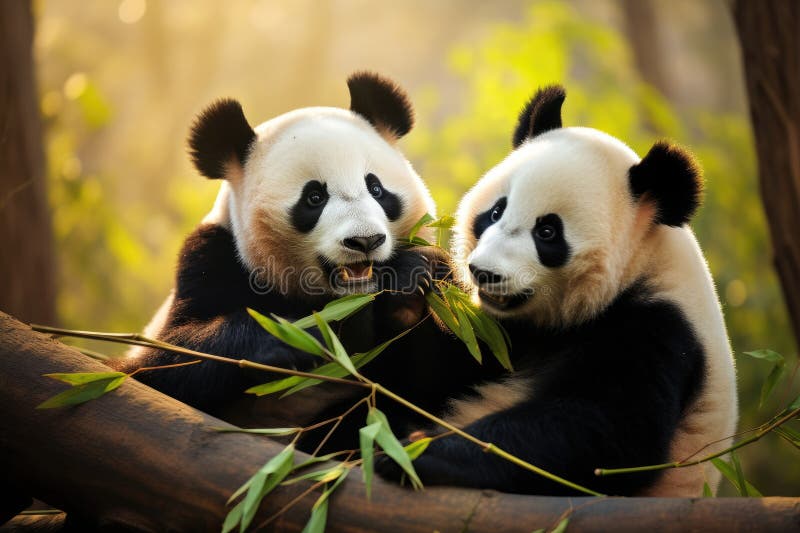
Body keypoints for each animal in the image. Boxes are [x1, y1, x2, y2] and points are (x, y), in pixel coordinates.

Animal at [117, 73, 489, 450]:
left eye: (376, 189)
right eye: (314, 197)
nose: (365, 240)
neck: (343, 302)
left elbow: (456, 368)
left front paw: (407, 288)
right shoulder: (212, 259)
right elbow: (157, 365)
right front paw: (298, 336)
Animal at [378, 85, 738, 497]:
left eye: (547, 232)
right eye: (496, 212)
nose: (483, 273)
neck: (642, 262)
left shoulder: (660, 327)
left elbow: (602, 431)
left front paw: (418, 451)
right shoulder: (503, 333)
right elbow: (427, 374)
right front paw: (409, 281)